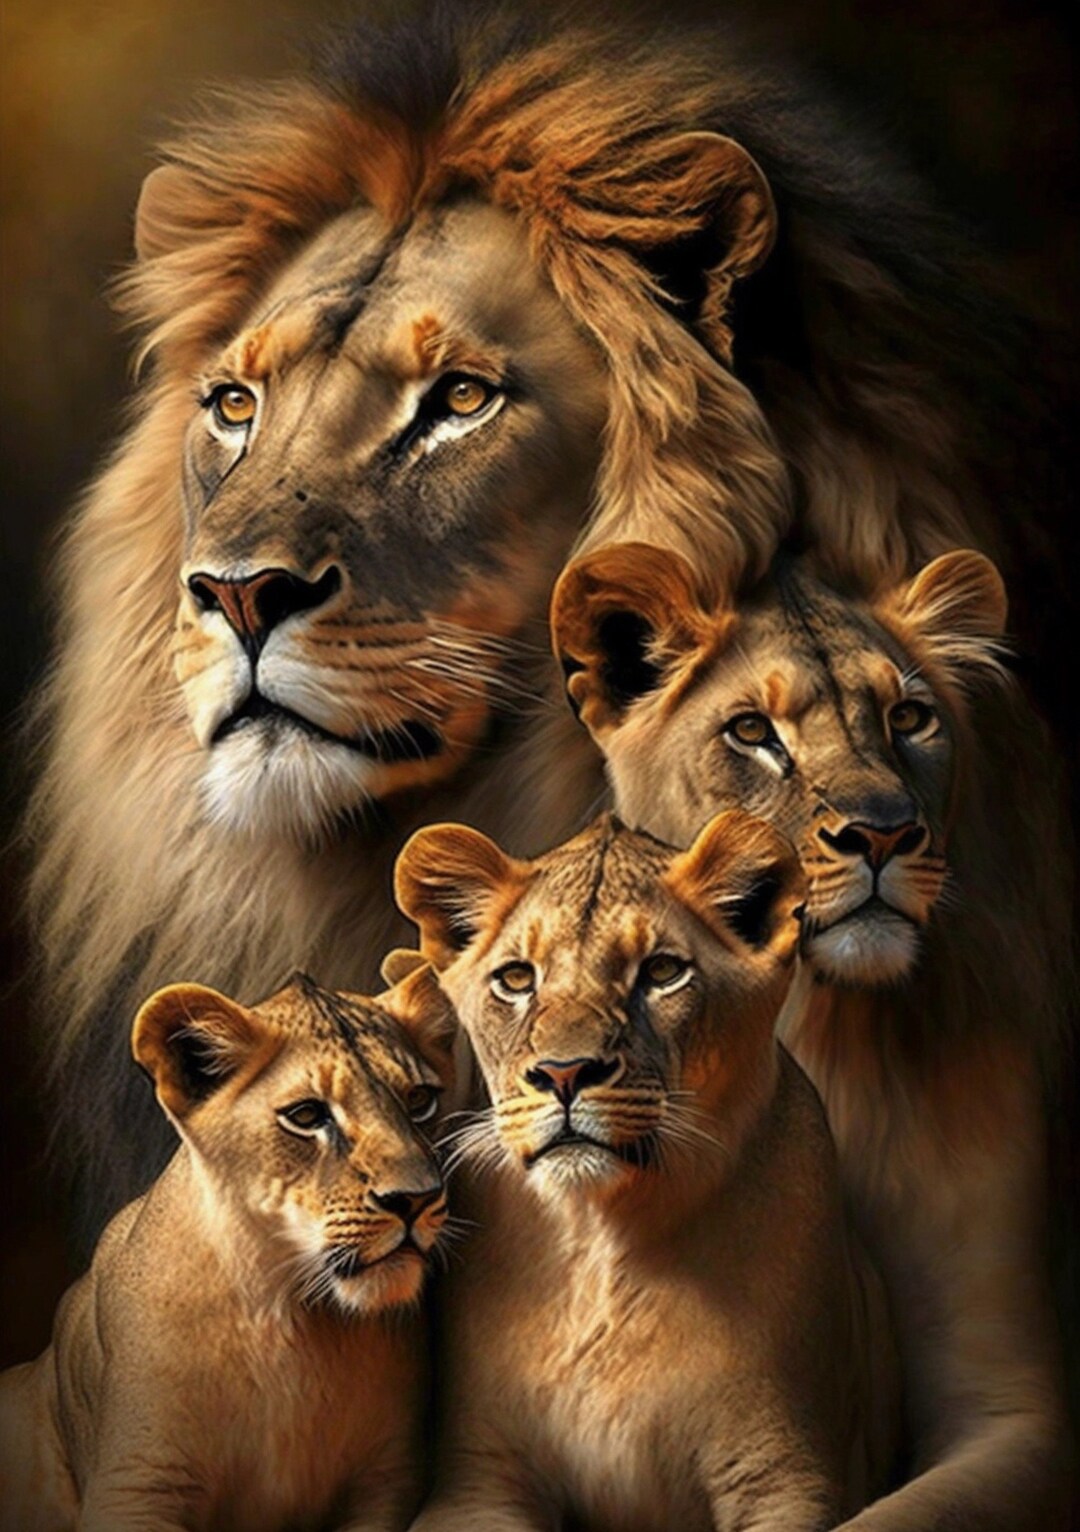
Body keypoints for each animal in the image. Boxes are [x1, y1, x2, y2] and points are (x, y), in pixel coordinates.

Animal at [0, 964, 456, 1532]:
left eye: (420, 1101)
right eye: (307, 1116)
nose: (417, 1198)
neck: (289, 1318)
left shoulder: (386, 1482)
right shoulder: (138, 1484)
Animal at [394, 808, 900, 1531]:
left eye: (661, 972)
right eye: (516, 979)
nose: (565, 1073)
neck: (602, 1239)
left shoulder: (786, 1474)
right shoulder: (478, 1477)